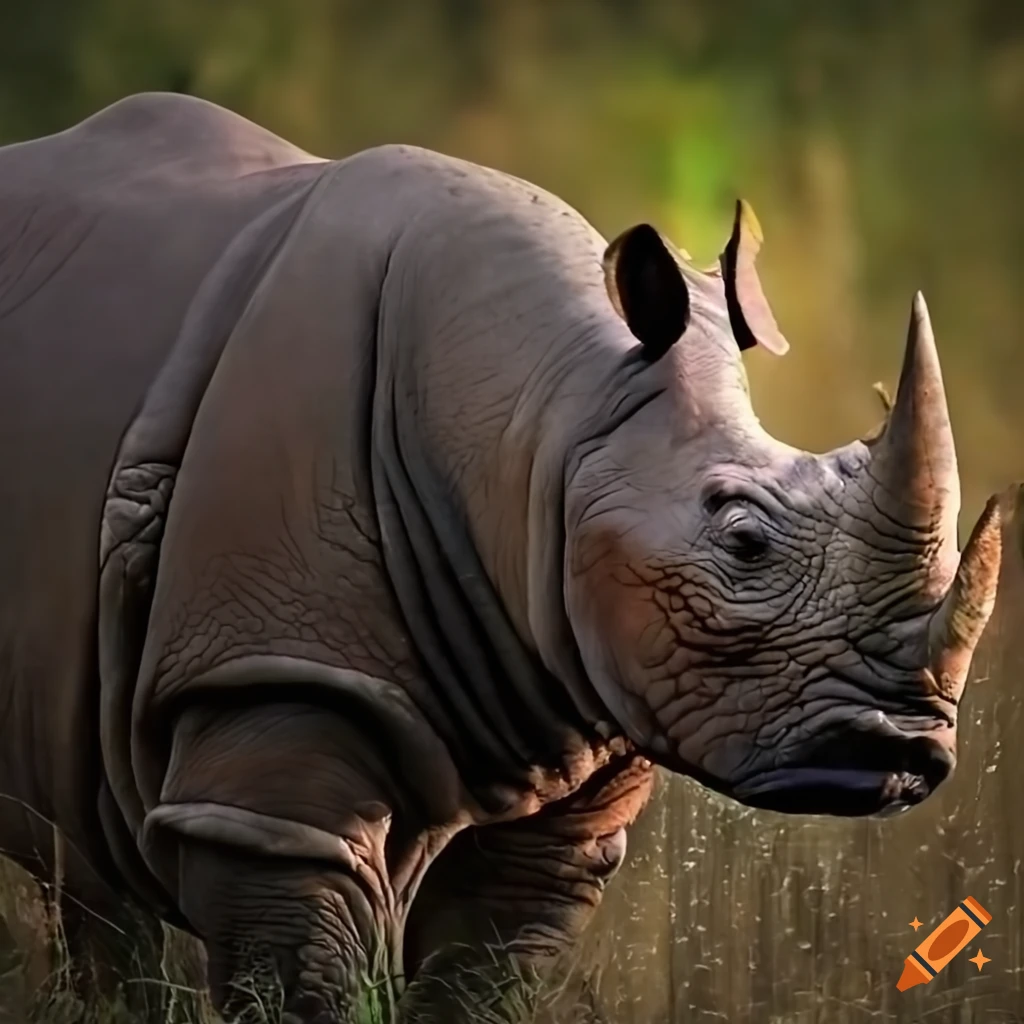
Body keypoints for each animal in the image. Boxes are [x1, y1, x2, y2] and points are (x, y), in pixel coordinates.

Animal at [0, 92, 1002, 1023]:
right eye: (744, 541)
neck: (553, 414)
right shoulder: (268, 679)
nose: (899, 753)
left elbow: (486, 958)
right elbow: (305, 960)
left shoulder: (571, 721)